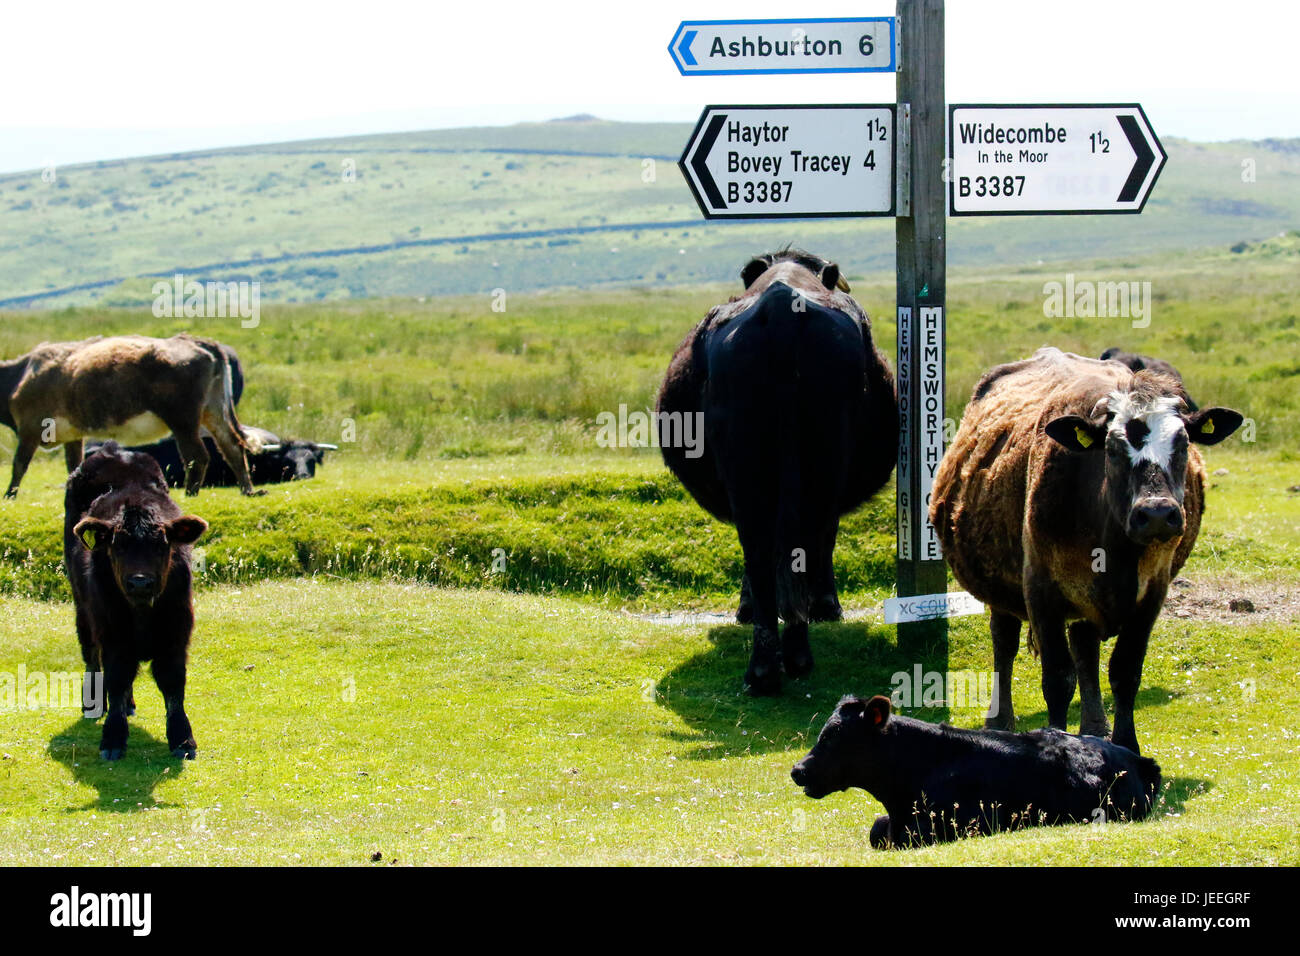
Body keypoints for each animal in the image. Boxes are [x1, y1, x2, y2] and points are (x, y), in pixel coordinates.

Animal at [0, 333, 262, 498]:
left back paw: (191, 493)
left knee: (197, 456)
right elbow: (74, 467)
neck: (19, 374)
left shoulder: (31, 427)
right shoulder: (73, 434)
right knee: (231, 446)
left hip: (182, 418)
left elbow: (19, 464)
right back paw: (248, 490)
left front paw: (9, 495)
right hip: (214, 409)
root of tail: (196, 341)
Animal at [64, 441, 208, 760]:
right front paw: (113, 739)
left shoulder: (176, 633)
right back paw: (93, 705)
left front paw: (182, 739)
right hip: (82, 608)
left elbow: (172, 683)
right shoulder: (112, 635)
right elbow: (116, 679)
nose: (140, 582)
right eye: (117, 546)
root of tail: (114, 450)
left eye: (162, 544)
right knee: (91, 655)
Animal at [656, 249, 897, 695]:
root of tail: (782, 306)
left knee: (765, 550)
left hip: (754, 470)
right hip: (818, 462)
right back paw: (789, 657)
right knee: (801, 541)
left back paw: (768, 667)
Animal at [929, 347, 1242, 754]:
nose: (1157, 513)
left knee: (1085, 649)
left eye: (1184, 443)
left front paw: (1126, 746)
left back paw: (1094, 727)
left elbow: (1124, 671)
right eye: (1112, 448)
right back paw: (999, 720)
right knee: (1005, 642)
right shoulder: (1041, 592)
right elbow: (1057, 678)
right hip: (1003, 589)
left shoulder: (1151, 595)